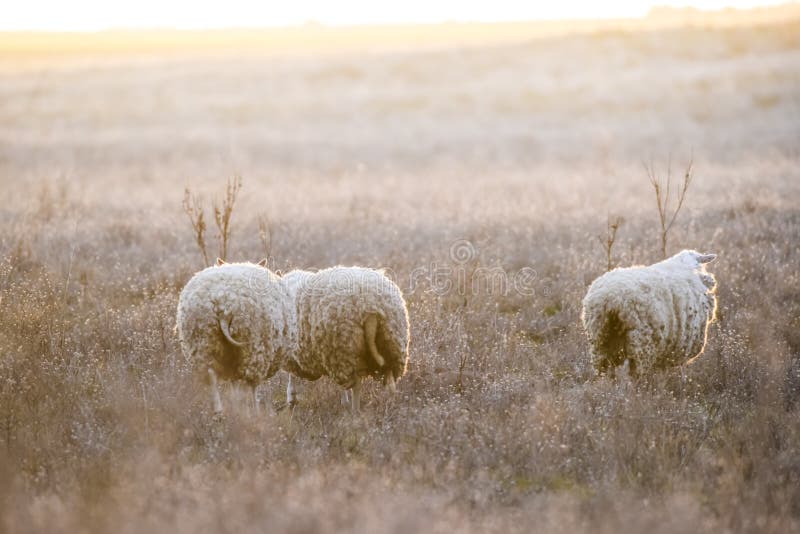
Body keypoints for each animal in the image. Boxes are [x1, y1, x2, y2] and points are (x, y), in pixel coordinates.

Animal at [175, 259, 292, 413]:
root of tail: (223, 304)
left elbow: (233, 384)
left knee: (211, 375)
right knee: (252, 383)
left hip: (202, 342)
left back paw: (219, 411)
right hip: (254, 347)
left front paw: (235, 404)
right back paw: (254, 411)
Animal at [281, 266, 410, 412]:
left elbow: (291, 375)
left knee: (356, 384)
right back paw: (390, 403)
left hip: (345, 348)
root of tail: (370, 306)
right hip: (392, 344)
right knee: (389, 379)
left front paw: (291, 398)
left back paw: (355, 412)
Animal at [581, 250, 718, 378]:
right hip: (641, 344)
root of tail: (611, 298)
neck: (688, 267)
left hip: (599, 342)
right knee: (635, 376)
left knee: (605, 373)